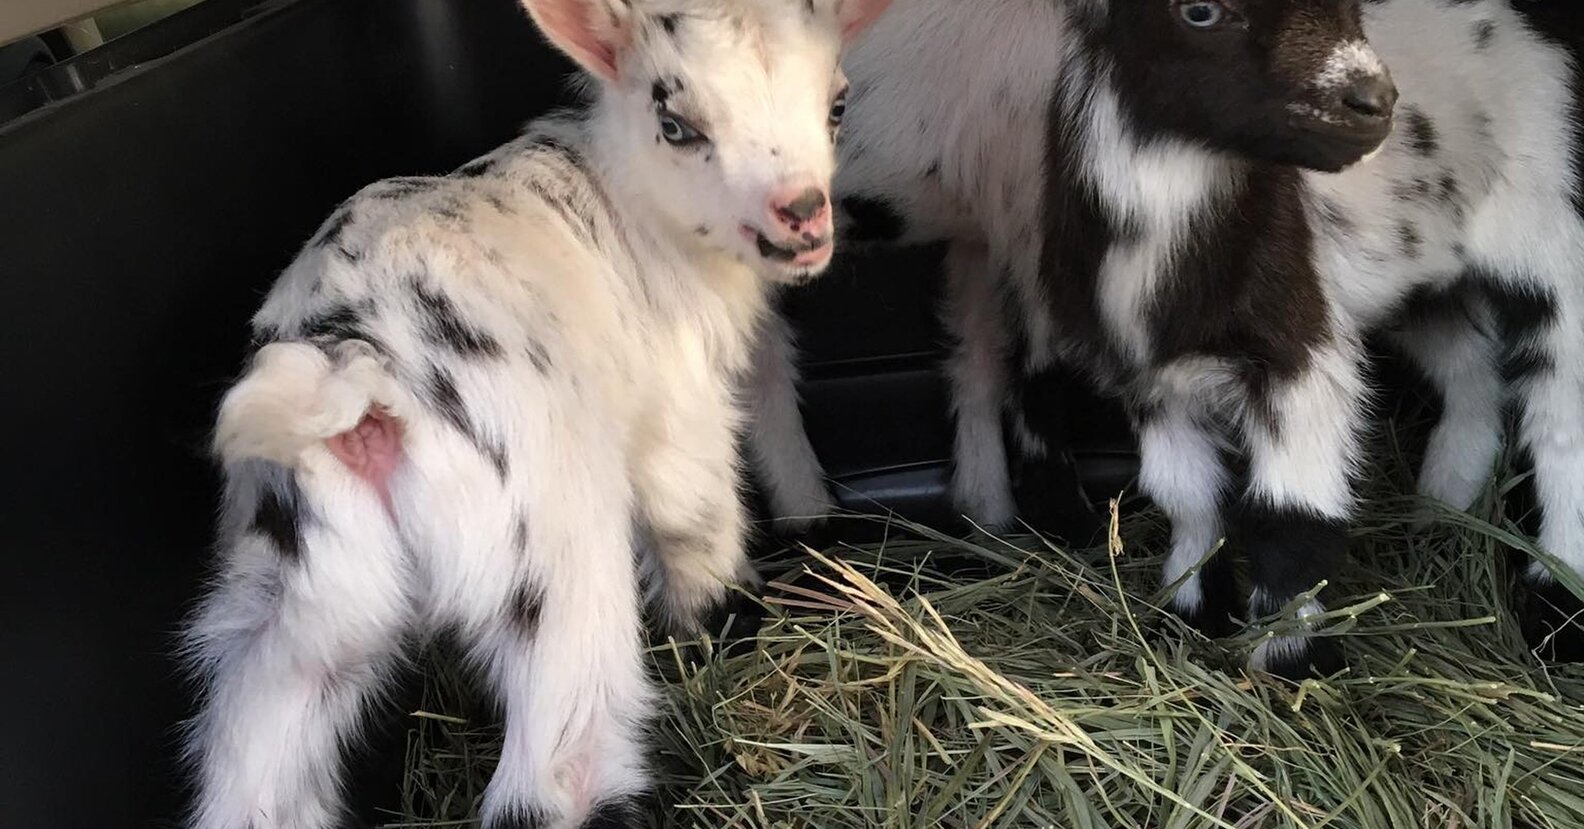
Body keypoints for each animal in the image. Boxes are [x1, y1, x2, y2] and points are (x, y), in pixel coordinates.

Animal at [180, 1, 891, 826]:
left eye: (837, 103)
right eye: (676, 124)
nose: (802, 215)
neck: (627, 198)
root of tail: (354, 379)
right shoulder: (677, 412)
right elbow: (697, 525)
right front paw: (724, 622)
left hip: (290, 602)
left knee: (257, 774)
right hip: (549, 552)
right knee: (553, 773)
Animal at [760, 0, 1584, 677]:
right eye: (1200, 13)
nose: (1371, 105)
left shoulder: (1293, 351)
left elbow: (1288, 512)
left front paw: (1286, 661)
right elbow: (1175, 483)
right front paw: (1181, 608)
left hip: (1547, 240)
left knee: (1559, 416)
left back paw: (1556, 606)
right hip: (1430, 277)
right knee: (1474, 374)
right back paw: (1441, 510)